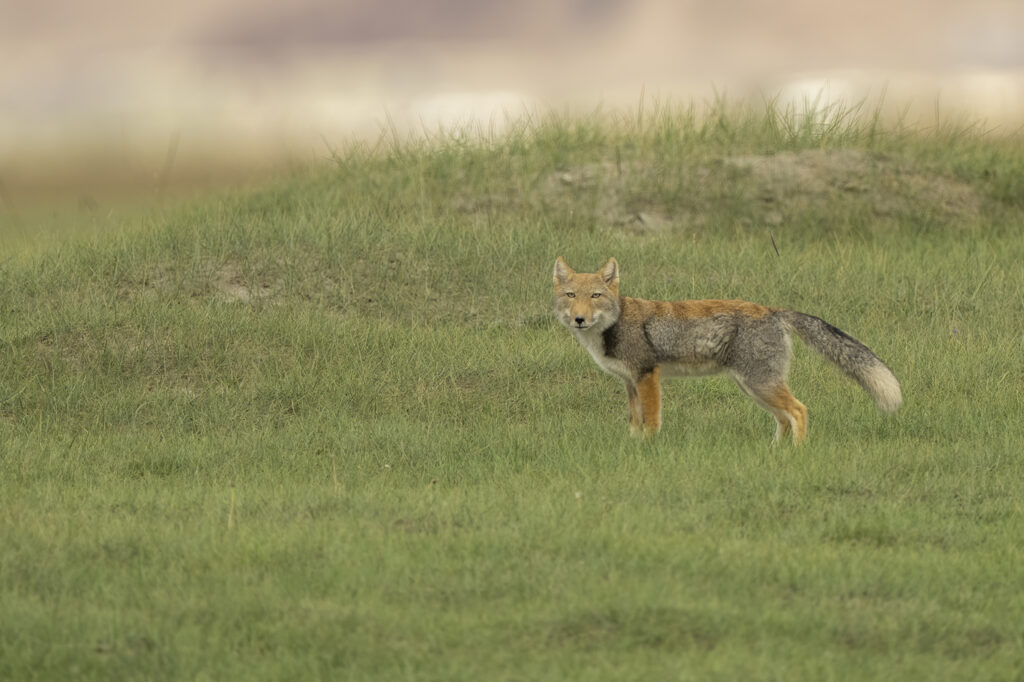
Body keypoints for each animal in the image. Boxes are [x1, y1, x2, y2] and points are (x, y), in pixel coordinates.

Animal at [552, 257, 901, 444]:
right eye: (571, 295)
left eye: (595, 296)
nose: (579, 319)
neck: (613, 325)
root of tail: (773, 310)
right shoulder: (630, 381)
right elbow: (634, 422)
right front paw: (635, 445)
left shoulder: (647, 376)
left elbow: (650, 421)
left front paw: (648, 448)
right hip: (754, 387)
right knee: (784, 419)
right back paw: (776, 453)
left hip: (761, 384)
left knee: (799, 410)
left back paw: (798, 453)